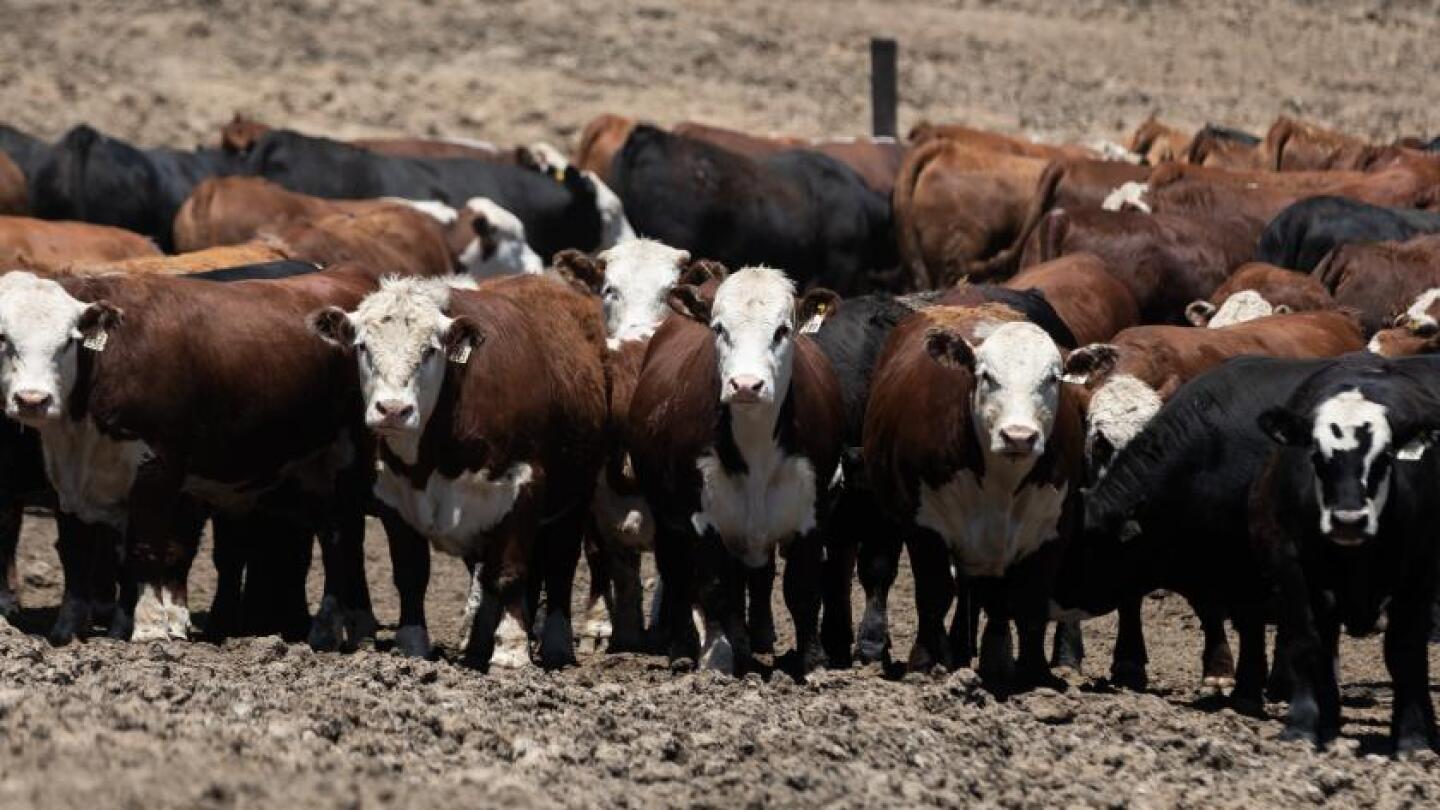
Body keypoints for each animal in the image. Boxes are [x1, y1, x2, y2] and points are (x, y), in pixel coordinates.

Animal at [0, 265, 383, 648]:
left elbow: (144, 547)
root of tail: (347, 273)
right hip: (313, 467)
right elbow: (77, 551)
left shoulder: (158, 467)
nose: (32, 400)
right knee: (331, 535)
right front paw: (69, 632)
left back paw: (334, 629)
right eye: (4, 339)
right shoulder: (68, 475)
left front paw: (148, 629)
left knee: (344, 539)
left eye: (68, 341)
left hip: (350, 456)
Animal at [309, 274, 607, 668]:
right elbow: (411, 574)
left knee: (560, 567)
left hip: (575, 500)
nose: (393, 410)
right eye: (362, 347)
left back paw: (556, 645)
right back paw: (478, 642)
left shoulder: (523, 486)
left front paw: (512, 651)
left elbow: (511, 573)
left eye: (430, 350)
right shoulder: (393, 496)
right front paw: (413, 645)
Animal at [628, 267, 845, 675]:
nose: (746, 385)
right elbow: (714, 588)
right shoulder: (702, 516)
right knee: (679, 576)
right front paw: (720, 657)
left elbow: (804, 588)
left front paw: (814, 664)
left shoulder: (812, 512)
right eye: (719, 328)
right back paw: (686, 649)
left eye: (782, 330)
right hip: (667, 519)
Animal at [863, 302, 1083, 689]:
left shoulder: (1054, 526)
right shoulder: (925, 524)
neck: (1001, 481)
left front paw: (1035, 673)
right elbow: (934, 592)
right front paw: (924, 662)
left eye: (1053, 378)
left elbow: (1030, 599)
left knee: (985, 596)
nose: (1019, 436)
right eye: (986, 376)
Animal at [1252, 353, 1440, 753]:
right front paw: (1302, 726)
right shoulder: (1291, 564)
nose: (1348, 520)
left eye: (1385, 458)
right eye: (1316, 456)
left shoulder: (1419, 568)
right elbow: (1306, 643)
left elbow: (1406, 651)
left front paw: (1413, 737)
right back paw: (1328, 722)